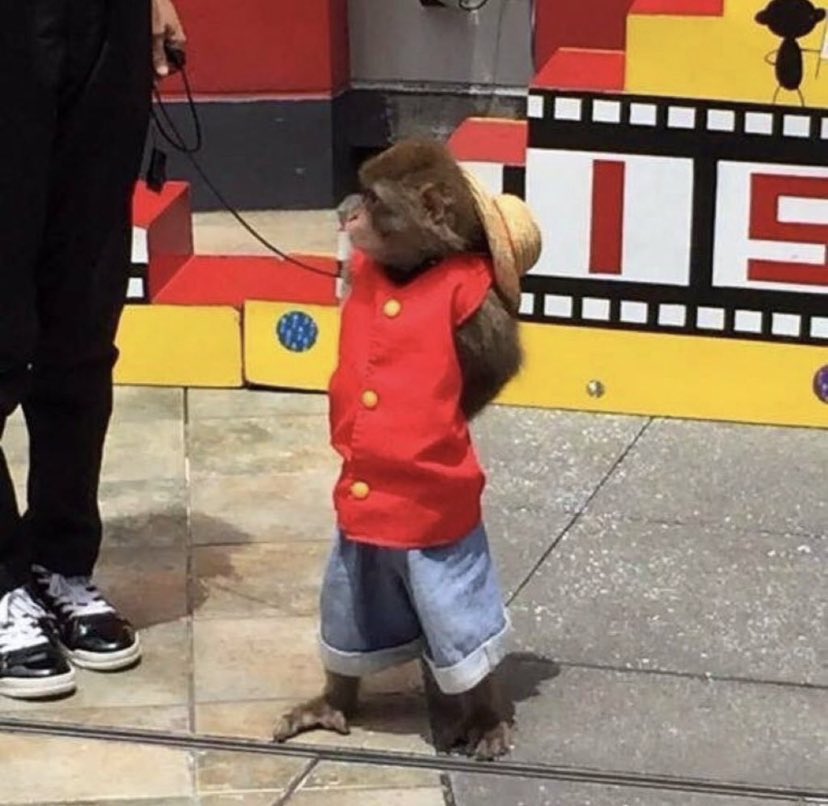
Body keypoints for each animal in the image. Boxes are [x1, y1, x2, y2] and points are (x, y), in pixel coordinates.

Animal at [272, 139, 542, 760]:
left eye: (373, 200)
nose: (348, 213)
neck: (414, 273)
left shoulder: (479, 306)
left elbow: (492, 370)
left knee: (458, 629)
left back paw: (482, 715)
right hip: (360, 554)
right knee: (350, 617)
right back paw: (334, 700)